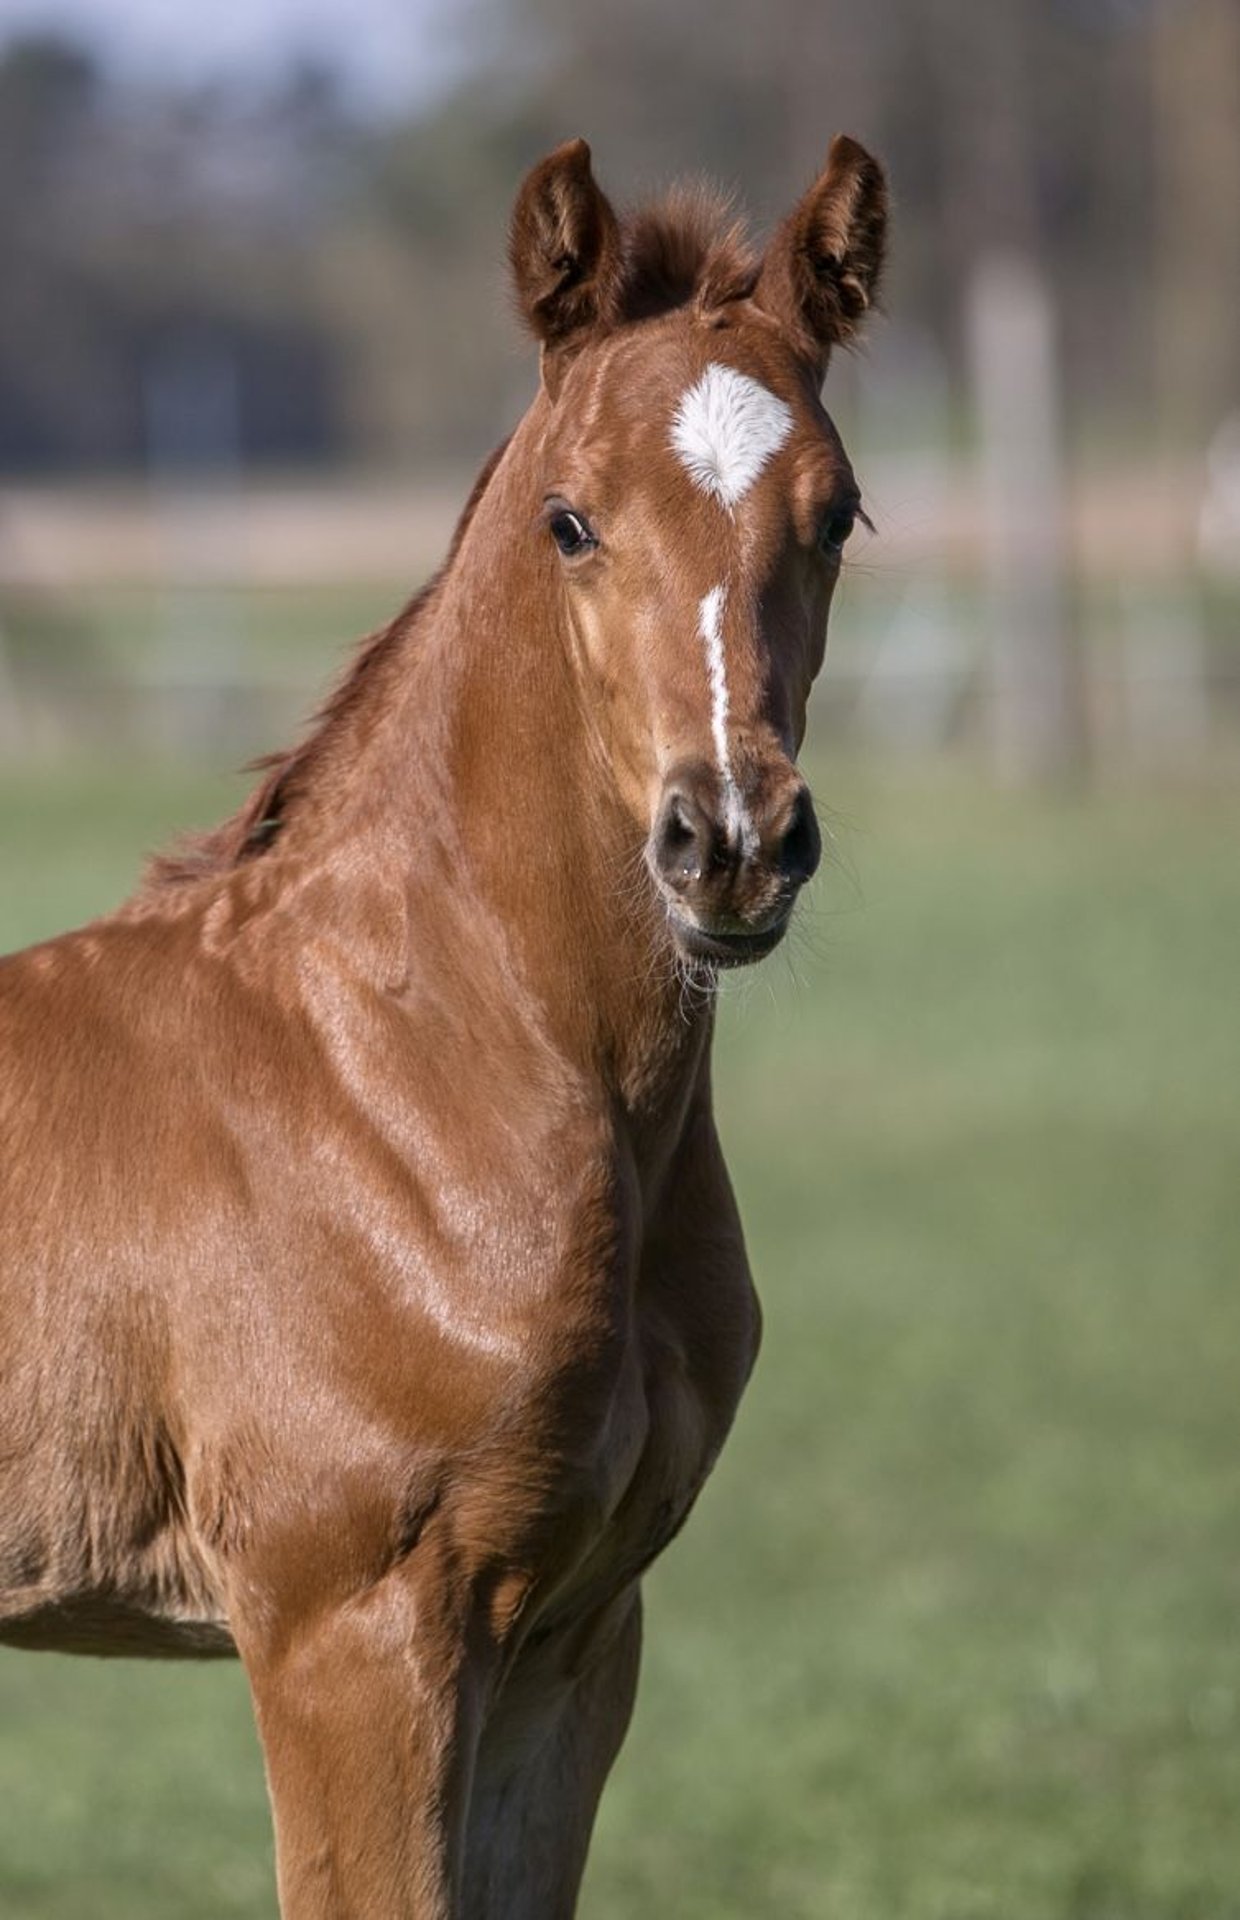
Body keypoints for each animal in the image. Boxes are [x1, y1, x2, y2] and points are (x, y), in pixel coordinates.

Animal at [0, 133, 887, 1916]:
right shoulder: (350, 1630)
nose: (731, 841)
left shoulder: (571, 1640)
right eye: (570, 520)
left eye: (837, 515)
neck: (406, 1064)